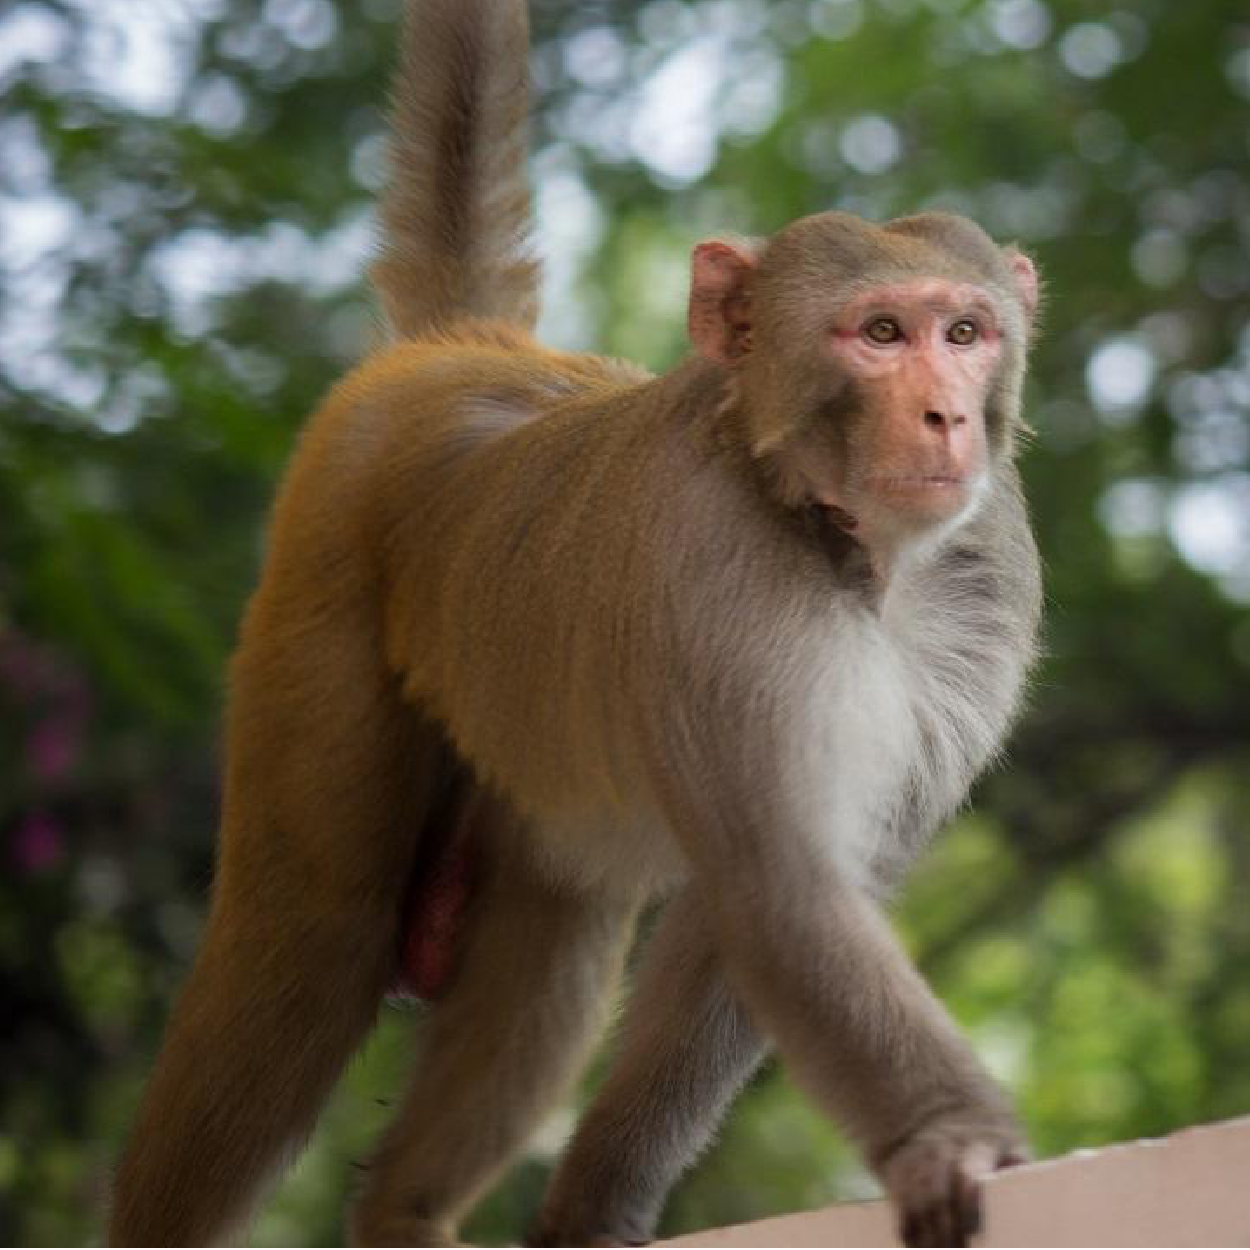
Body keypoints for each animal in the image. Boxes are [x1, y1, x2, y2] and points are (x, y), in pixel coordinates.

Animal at [106, 0, 1044, 1246]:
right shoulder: (713, 570)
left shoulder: (986, 589)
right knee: (309, 936)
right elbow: (779, 879)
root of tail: (464, 350)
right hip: (314, 607)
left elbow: (744, 926)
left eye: (966, 334)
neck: (853, 548)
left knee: (546, 960)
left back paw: (399, 1211)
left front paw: (596, 1203)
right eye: (881, 332)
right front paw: (948, 1137)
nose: (944, 416)